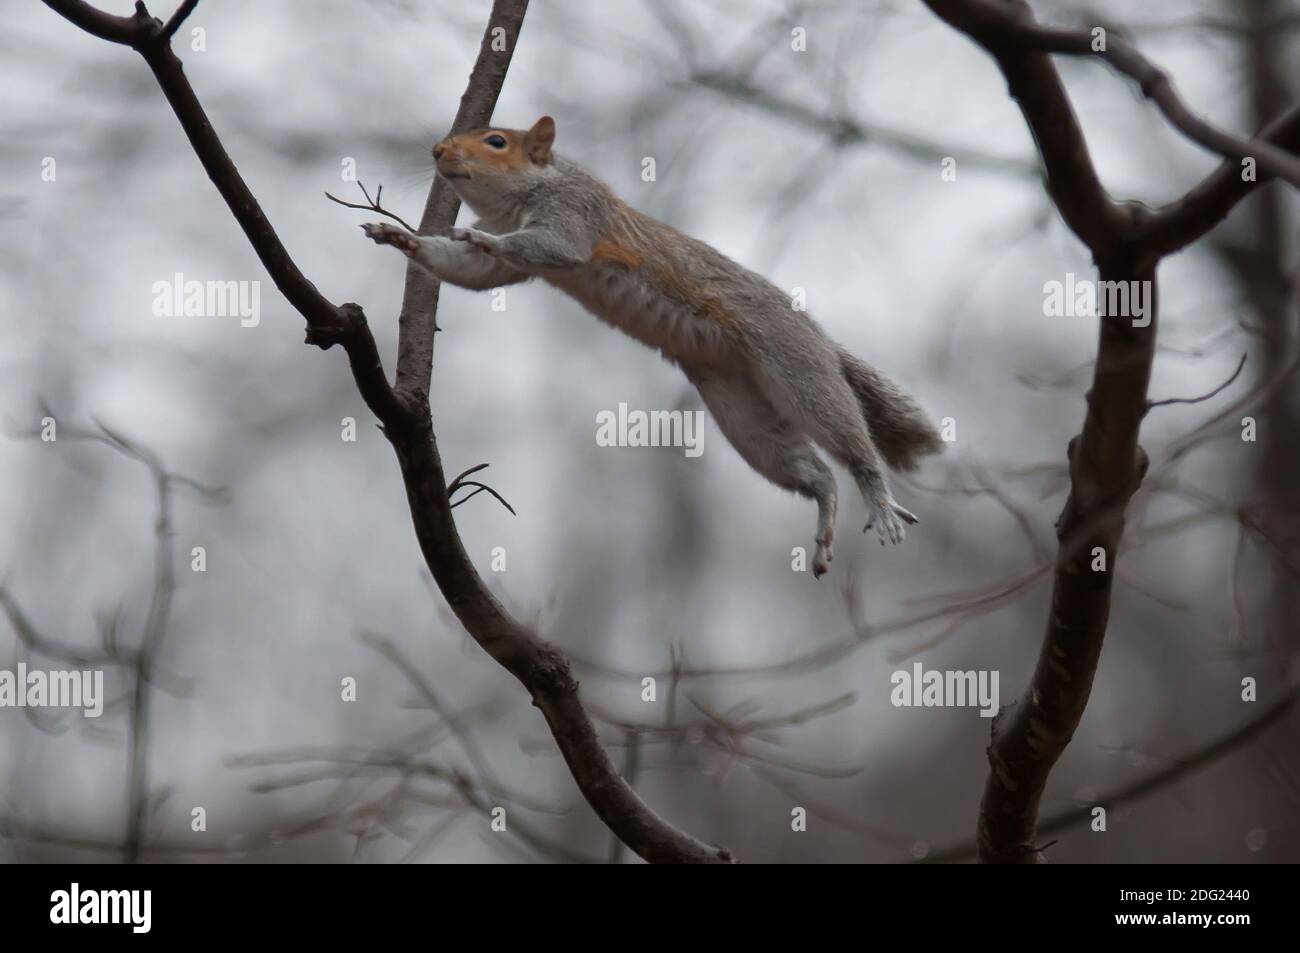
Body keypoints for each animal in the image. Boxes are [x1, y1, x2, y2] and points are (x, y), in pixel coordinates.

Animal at [362, 116, 942, 577]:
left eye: (497, 141)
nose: (438, 151)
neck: (526, 195)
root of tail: (818, 335)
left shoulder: (576, 215)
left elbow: (546, 247)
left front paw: (476, 237)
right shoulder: (504, 266)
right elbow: (470, 271)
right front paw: (404, 238)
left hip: (797, 368)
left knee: (849, 440)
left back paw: (878, 500)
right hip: (745, 412)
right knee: (816, 473)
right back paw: (824, 527)